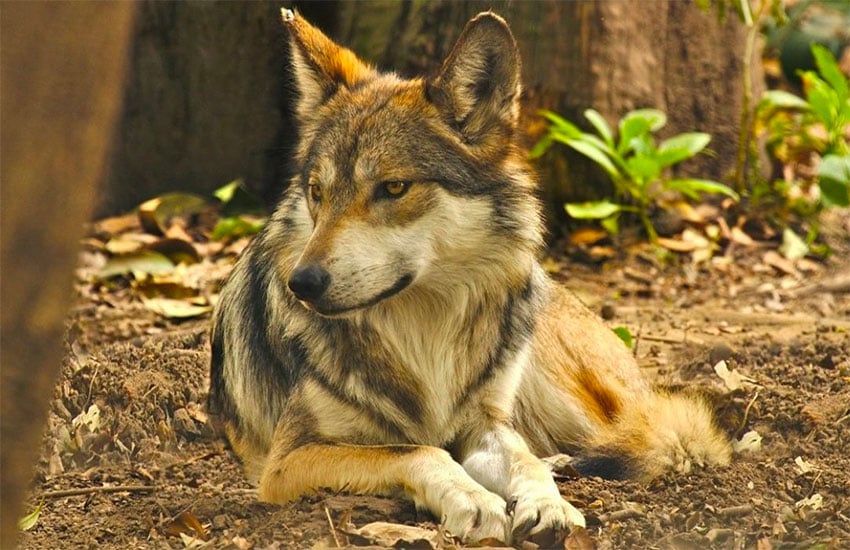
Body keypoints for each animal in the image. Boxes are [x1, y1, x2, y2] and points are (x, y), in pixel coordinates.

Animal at [208, 8, 732, 545]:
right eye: (318, 192)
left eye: (393, 188)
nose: (303, 283)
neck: (424, 333)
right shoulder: (284, 462)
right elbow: (422, 450)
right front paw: (475, 502)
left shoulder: (485, 425)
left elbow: (523, 462)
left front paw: (548, 503)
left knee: (646, 435)